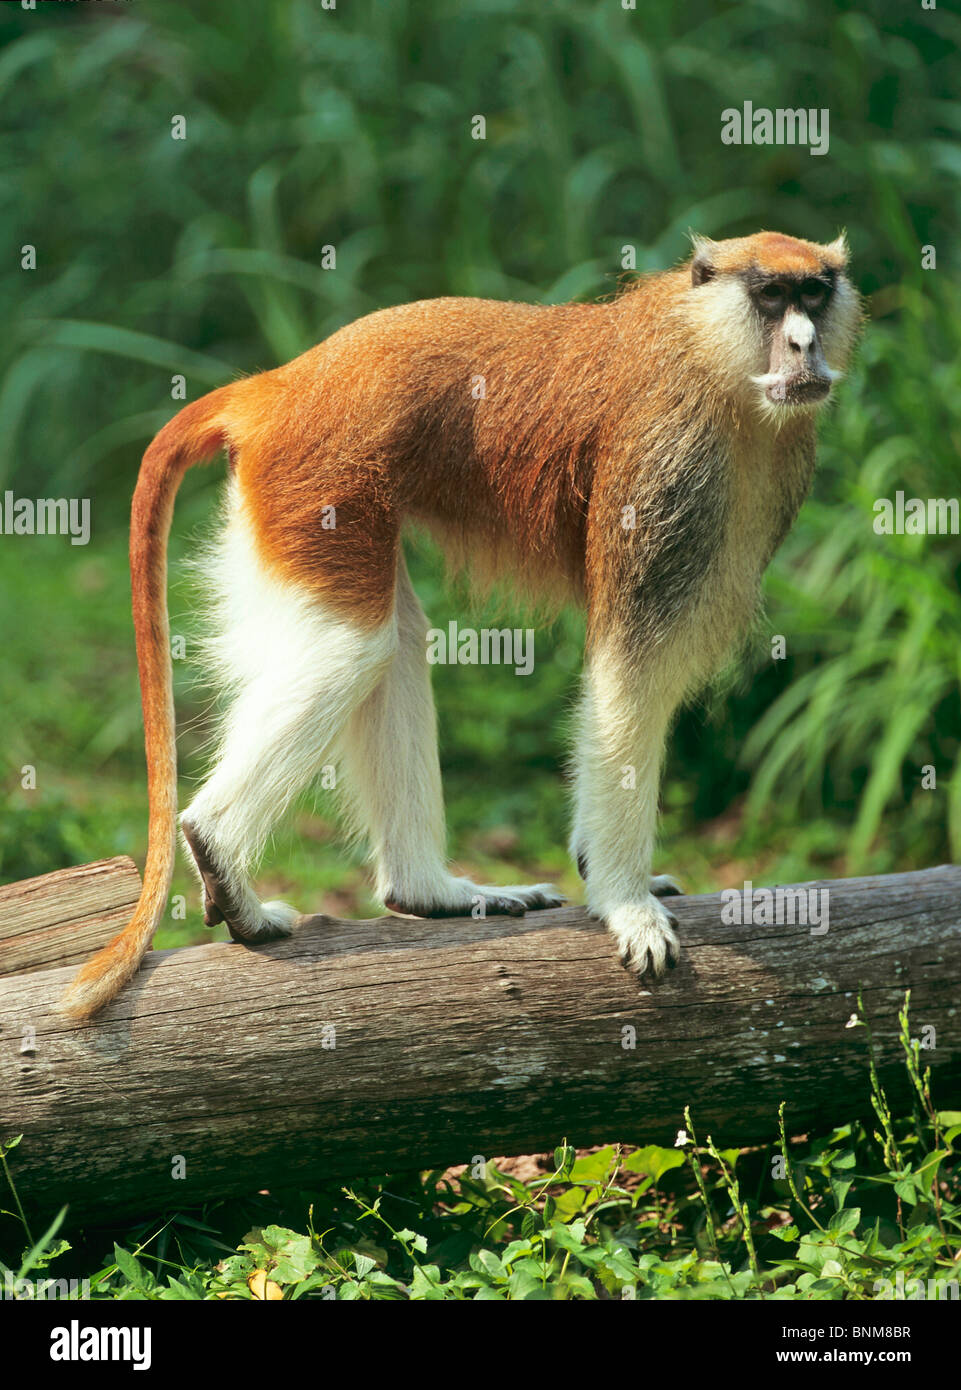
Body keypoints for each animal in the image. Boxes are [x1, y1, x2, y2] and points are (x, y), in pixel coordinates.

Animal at [58, 230, 861, 1020]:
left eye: (813, 293)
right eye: (771, 295)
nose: (802, 344)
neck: (706, 352)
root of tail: (284, 382)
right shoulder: (666, 466)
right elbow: (629, 670)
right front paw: (624, 901)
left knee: (394, 642)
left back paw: (426, 892)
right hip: (318, 482)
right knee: (355, 646)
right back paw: (223, 856)